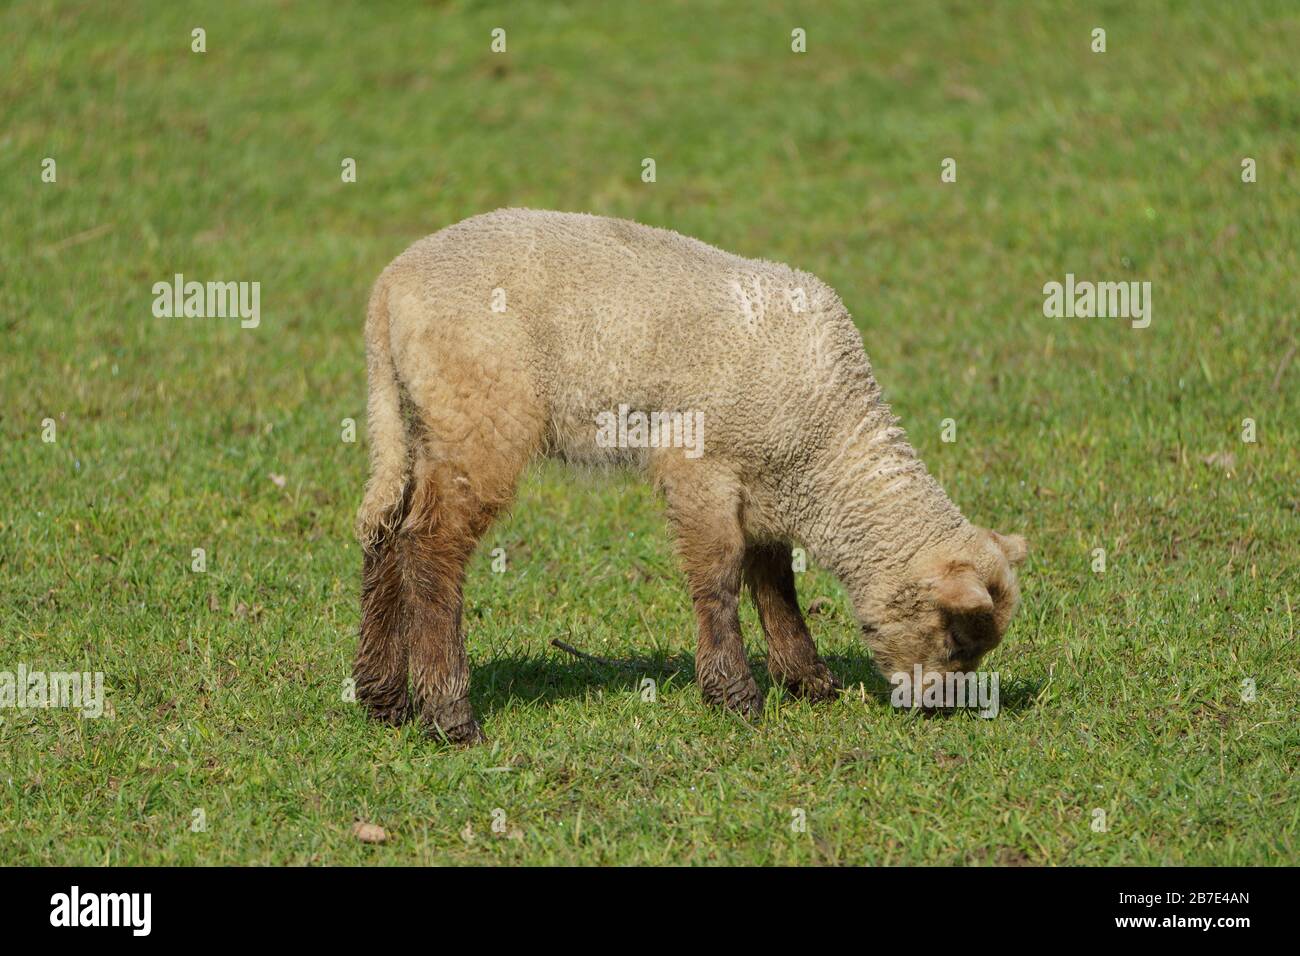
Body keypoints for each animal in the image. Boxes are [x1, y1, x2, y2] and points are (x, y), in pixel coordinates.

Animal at [354, 208, 1027, 743]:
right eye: (957, 641)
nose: (939, 709)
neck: (827, 451)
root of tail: (390, 288)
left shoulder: (765, 480)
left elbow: (775, 583)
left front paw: (807, 680)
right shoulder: (704, 464)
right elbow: (719, 577)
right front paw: (735, 696)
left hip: (417, 418)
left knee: (385, 533)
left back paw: (383, 699)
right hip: (480, 415)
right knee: (431, 548)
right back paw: (450, 715)